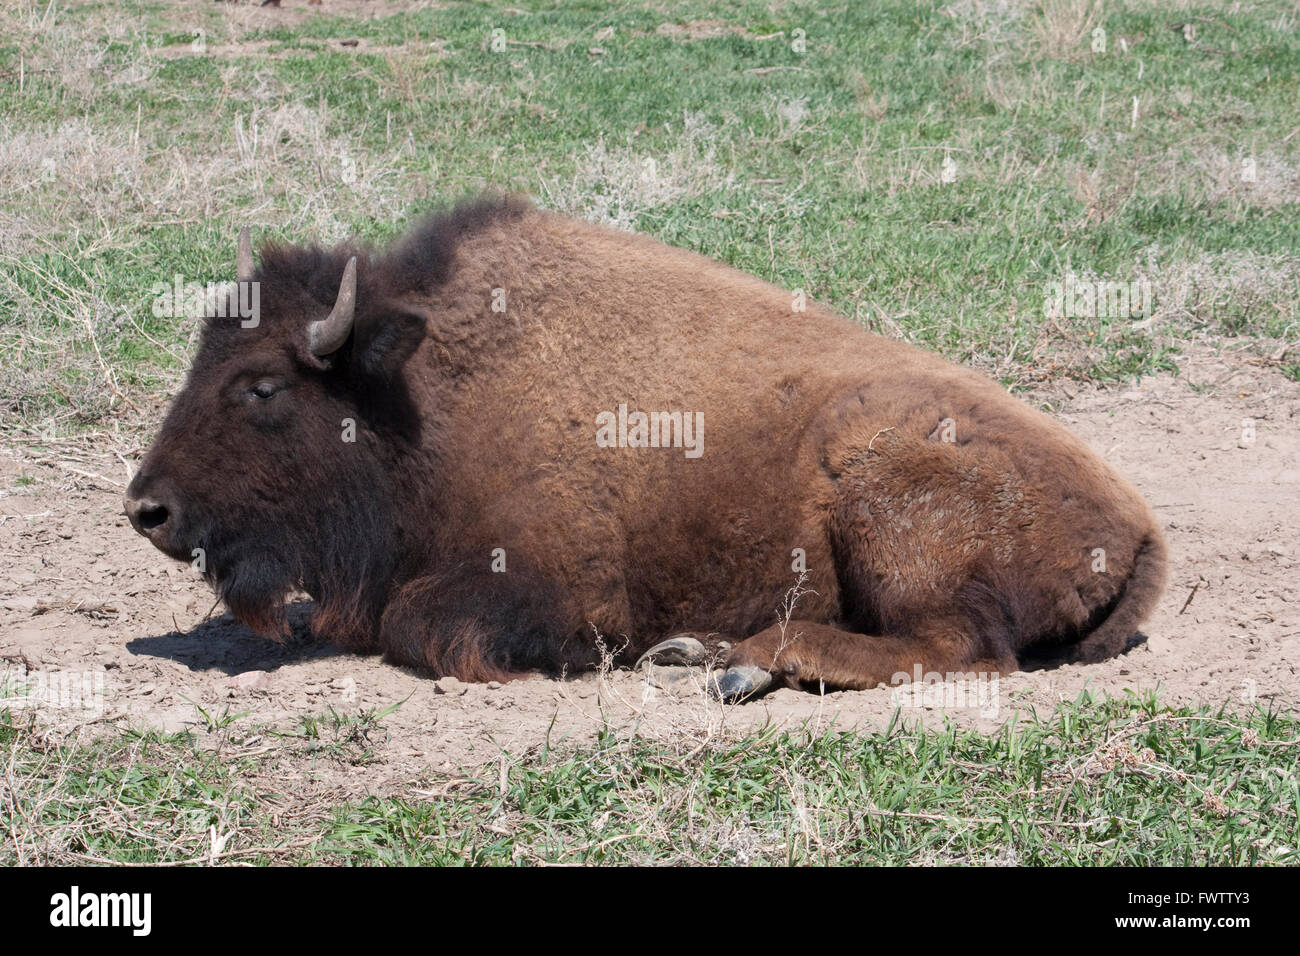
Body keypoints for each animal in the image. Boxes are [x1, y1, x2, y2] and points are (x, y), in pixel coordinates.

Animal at [125, 195, 1167, 700]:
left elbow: (418, 625)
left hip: (888, 514)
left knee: (957, 648)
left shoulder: (552, 589)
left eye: (262, 386)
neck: (422, 393)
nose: (147, 509)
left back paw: (745, 662)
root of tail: (1139, 525)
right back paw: (703, 651)